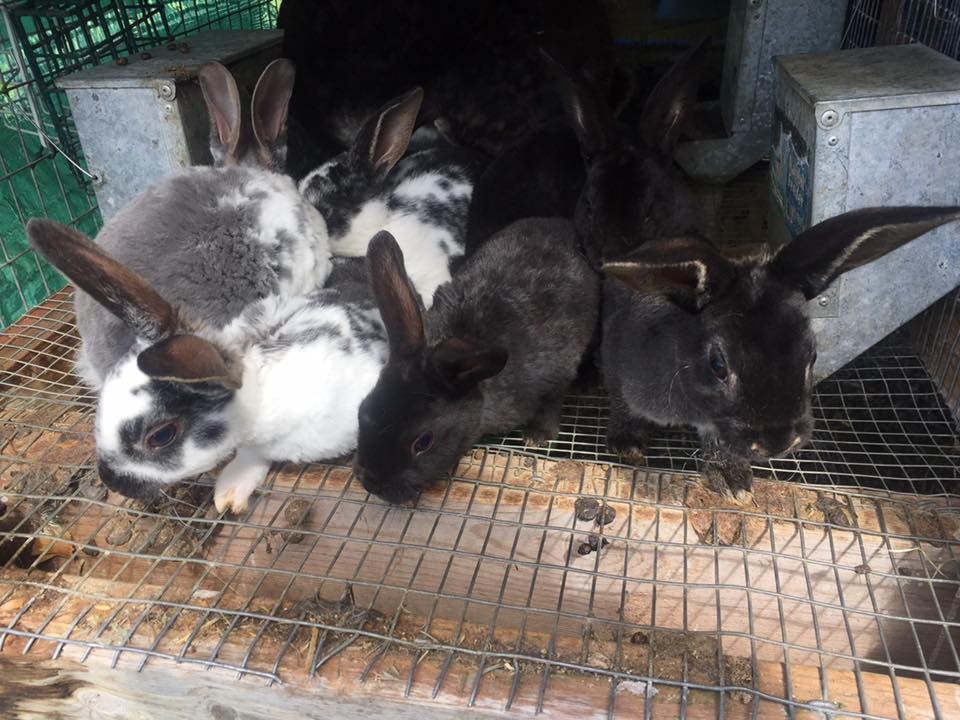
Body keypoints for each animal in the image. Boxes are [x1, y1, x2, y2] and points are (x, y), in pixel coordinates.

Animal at [353, 218, 600, 504]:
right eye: (363, 409)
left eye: (423, 443)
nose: (371, 485)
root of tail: (559, 223)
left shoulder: (557, 376)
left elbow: (550, 407)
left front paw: (537, 437)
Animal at [599, 206, 960, 499]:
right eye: (718, 364)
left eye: (812, 356)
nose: (779, 443)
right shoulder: (618, 368)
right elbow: (621, 404)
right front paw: (626, 445)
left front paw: (733, 480)